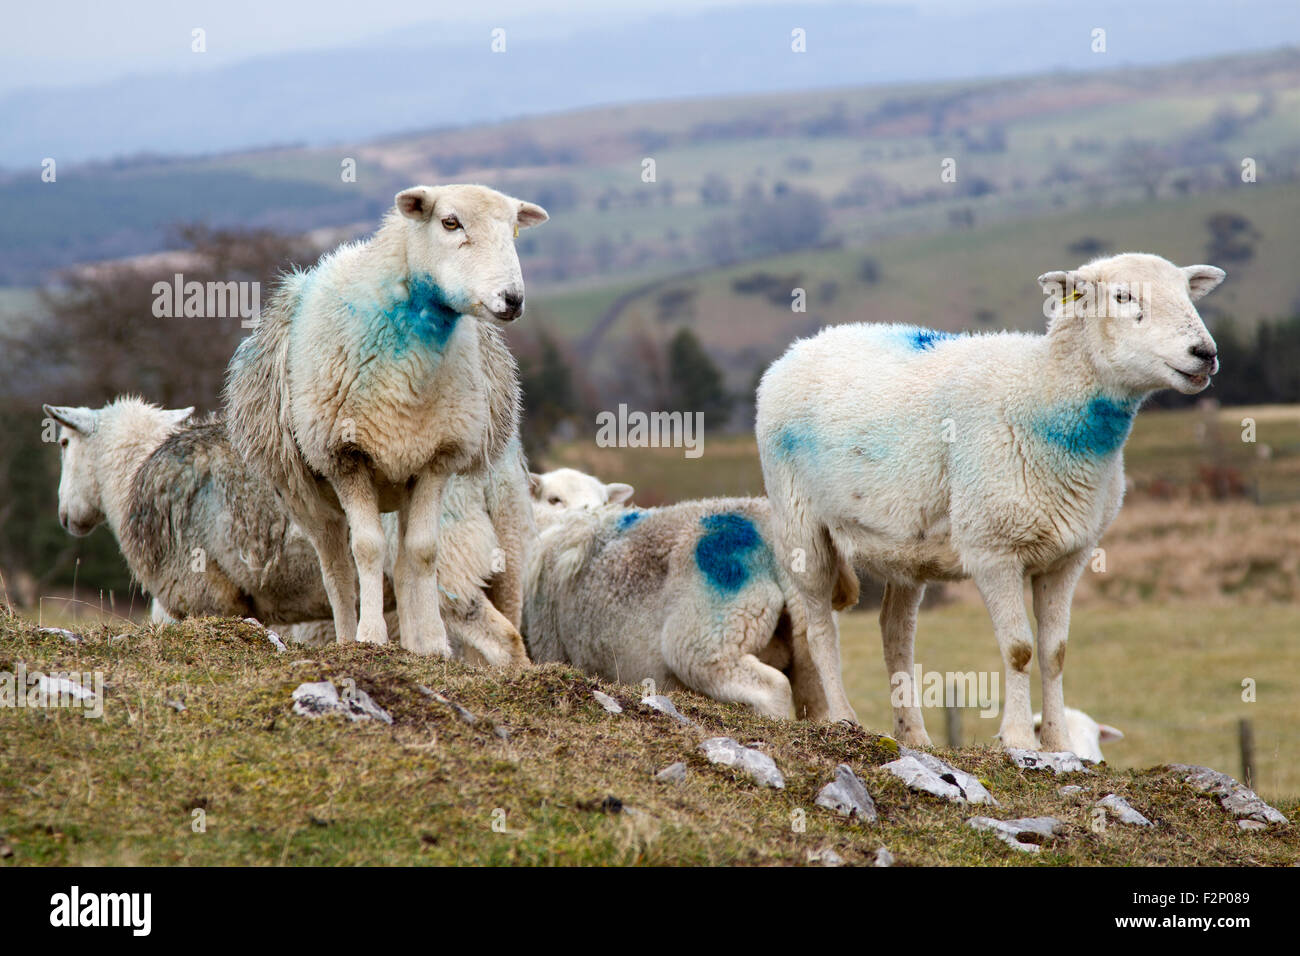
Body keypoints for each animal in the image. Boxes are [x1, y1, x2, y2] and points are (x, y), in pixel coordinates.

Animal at [43, 398, 529, 664]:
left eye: (64, 442)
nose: (65, 517)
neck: (132, 472)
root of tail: (494, 466)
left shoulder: (202, 596)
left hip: (451, 566)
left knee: (503, 641)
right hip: (507, 560)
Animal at [225, 184, 547, 657]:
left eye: (514, 230)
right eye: (450, 222)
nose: (513, 299)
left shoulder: (436, 457)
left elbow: (424, 552)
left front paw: (434, 646)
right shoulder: (346, 455)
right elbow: (367, 550)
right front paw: (371, 637)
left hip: (406, 479)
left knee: (405, 559)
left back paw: (414, 643)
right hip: (306, 496)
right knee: (337, 569)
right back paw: (345, 636)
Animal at [522, 468, 857, 719]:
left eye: (603, 501)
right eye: (554, 498)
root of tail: (769, 533)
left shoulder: (549, 647)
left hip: (706, 639)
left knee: (772, 688)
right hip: (807, 640)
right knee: (817, 700)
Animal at [756, 252, 1225, 749]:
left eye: (1187, 294)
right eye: (1123, 296)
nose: (1205, 353)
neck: (1042, 393)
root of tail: (802, 346)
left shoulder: (1069, 556)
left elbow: (1055, 652)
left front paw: (1059, 744)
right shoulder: (993, 550)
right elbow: (1019, 649)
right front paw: (1018, 739)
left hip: (905, 546)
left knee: (895, 633)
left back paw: (913, 736)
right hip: (800, 526)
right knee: (820, 630)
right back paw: (844, 718)